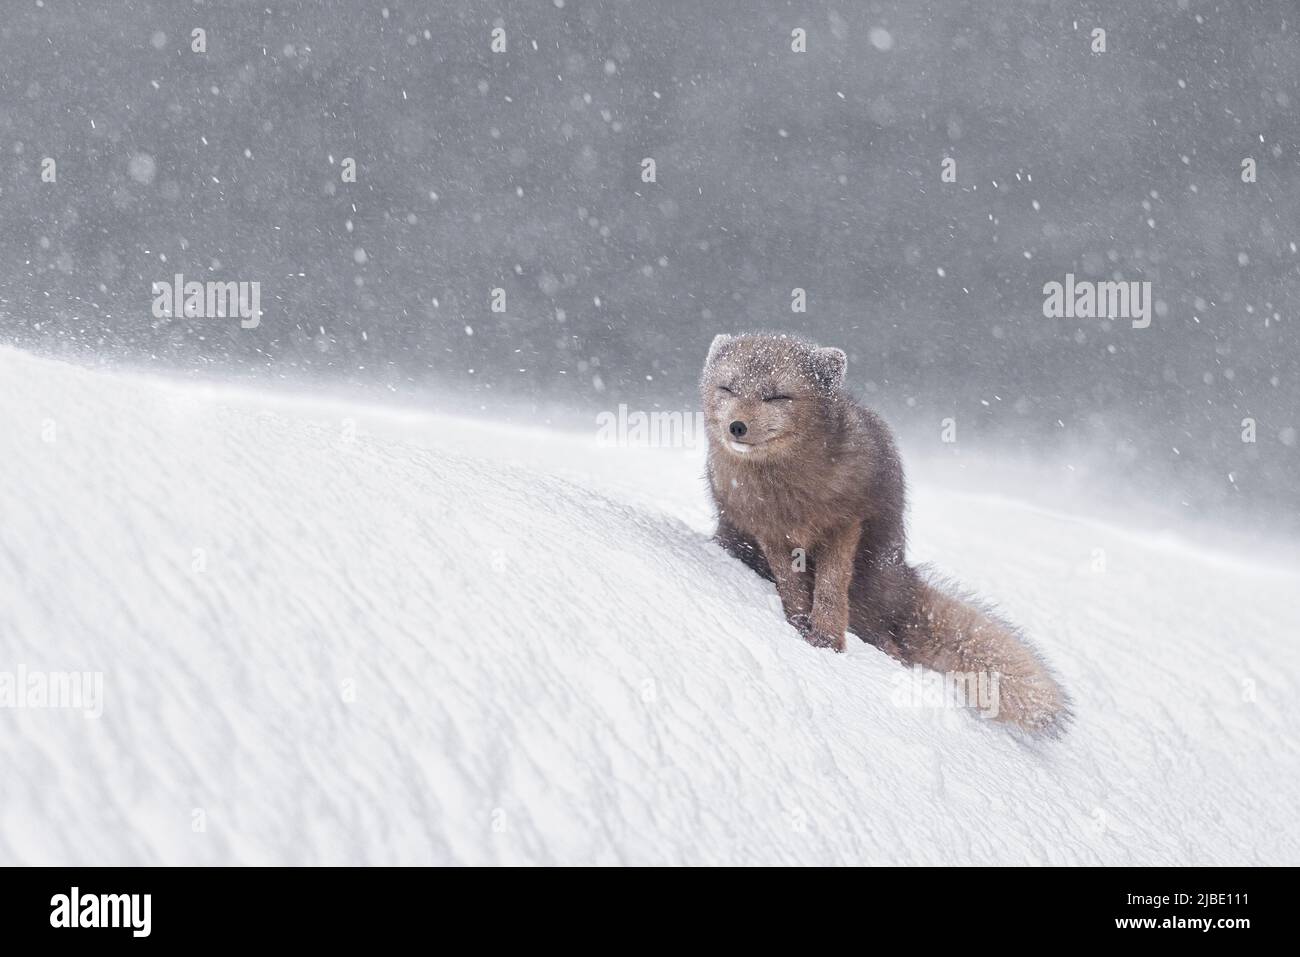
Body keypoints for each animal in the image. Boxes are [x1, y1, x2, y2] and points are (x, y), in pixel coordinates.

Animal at [702, 332, 1071, 735]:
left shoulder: (846, 524)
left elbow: (830, 589)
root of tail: (904, 584)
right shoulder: (769, 531)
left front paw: (826, 640)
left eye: (776, 396)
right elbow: (792, 587)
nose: (737, 426)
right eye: (728, 388)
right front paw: (799, 625)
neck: (789, 493)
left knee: (892, 643)